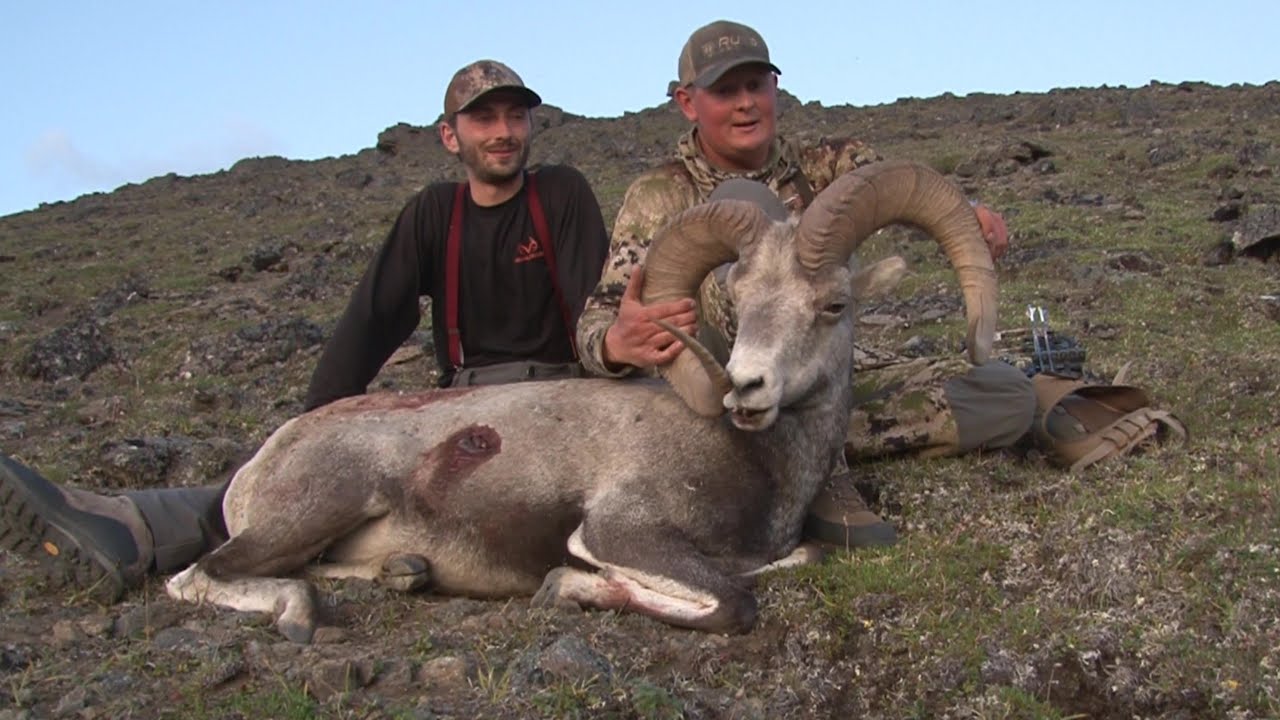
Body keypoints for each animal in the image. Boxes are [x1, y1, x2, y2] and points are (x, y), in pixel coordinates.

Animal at [165, 160, 997, 642]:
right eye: (737, 298)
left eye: (832, 305)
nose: (746, 388)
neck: (757, 463)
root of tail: (257, 467)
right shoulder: (622, 531)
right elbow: (733, 601)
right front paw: (569, 588)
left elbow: (796, 560)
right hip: (317, 506)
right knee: (200, 576)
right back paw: (299, 614)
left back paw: (403, 572)